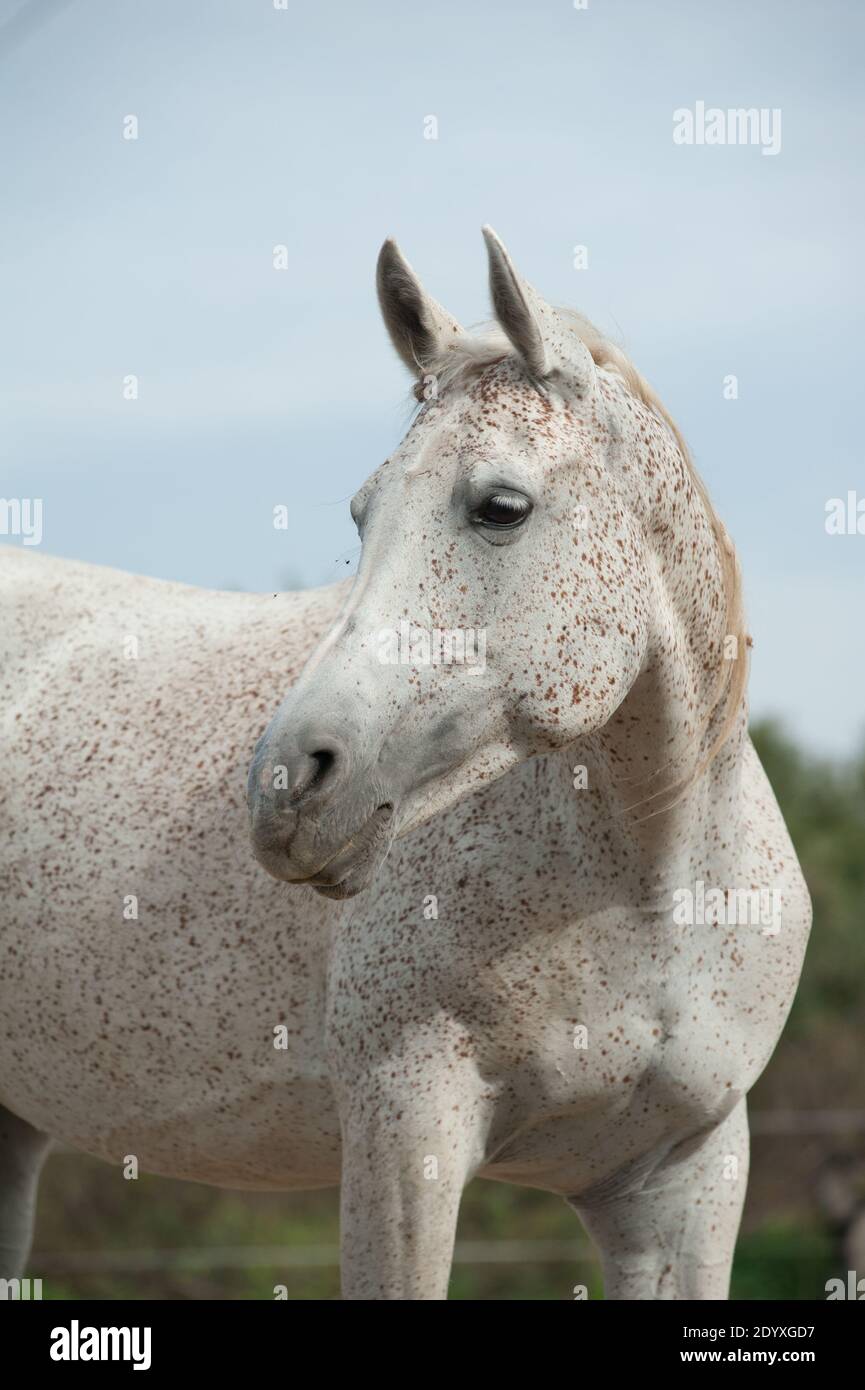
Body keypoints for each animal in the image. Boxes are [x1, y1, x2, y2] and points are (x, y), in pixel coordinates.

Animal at [0, 229, 810, 1300]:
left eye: (500, 507)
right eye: (362, 512)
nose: (286, 788)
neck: (648, 888)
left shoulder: (685, 1180)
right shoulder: (402, 1140)